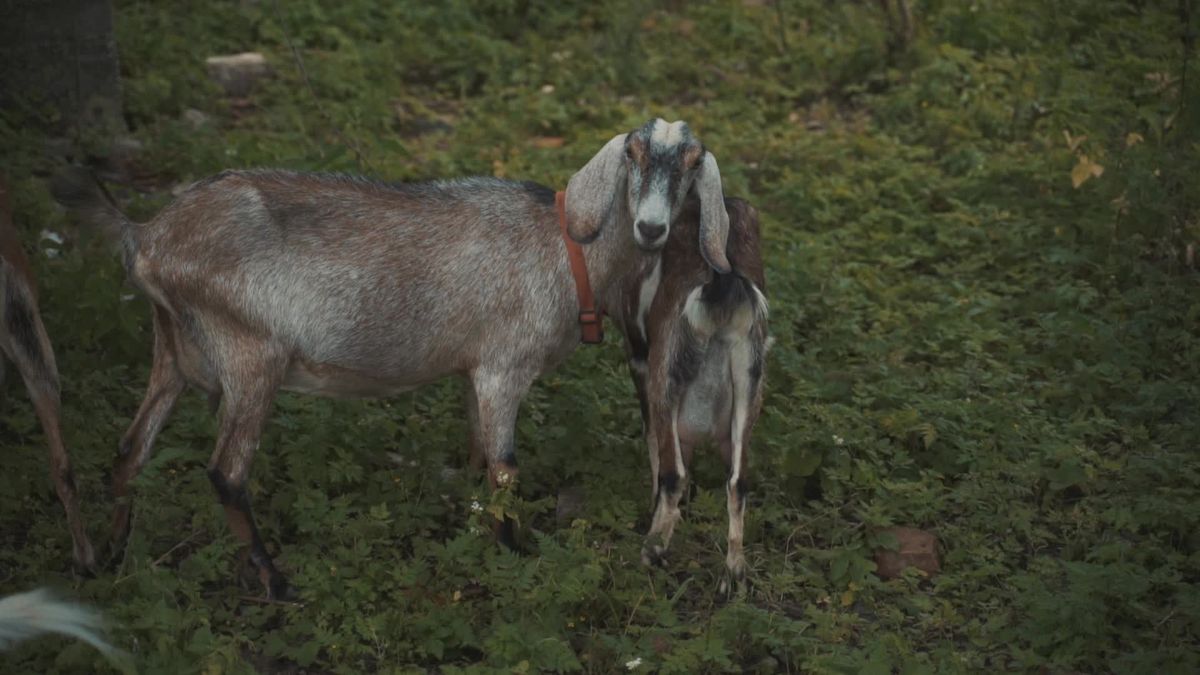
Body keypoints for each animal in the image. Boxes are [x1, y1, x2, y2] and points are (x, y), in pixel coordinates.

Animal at [50, 118, 731, 599]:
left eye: (692, 163)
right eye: (633, 156)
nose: (651, 229)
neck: (565, 250)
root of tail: (146, 236)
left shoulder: (472, 373)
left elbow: (478, 457)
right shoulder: (502, 367)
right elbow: (505, 469)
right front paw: (514, 555)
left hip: (173, 351)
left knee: (129, 450)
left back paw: (111, 556)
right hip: (250, 357)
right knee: (225, 472)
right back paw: (275, 581)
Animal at [614, 195, 769, 594]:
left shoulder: (642, 362)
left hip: (667, 376)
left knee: (674, 475)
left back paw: (651, 552)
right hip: (749, 383)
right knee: (738, 481)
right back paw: (733, 576)